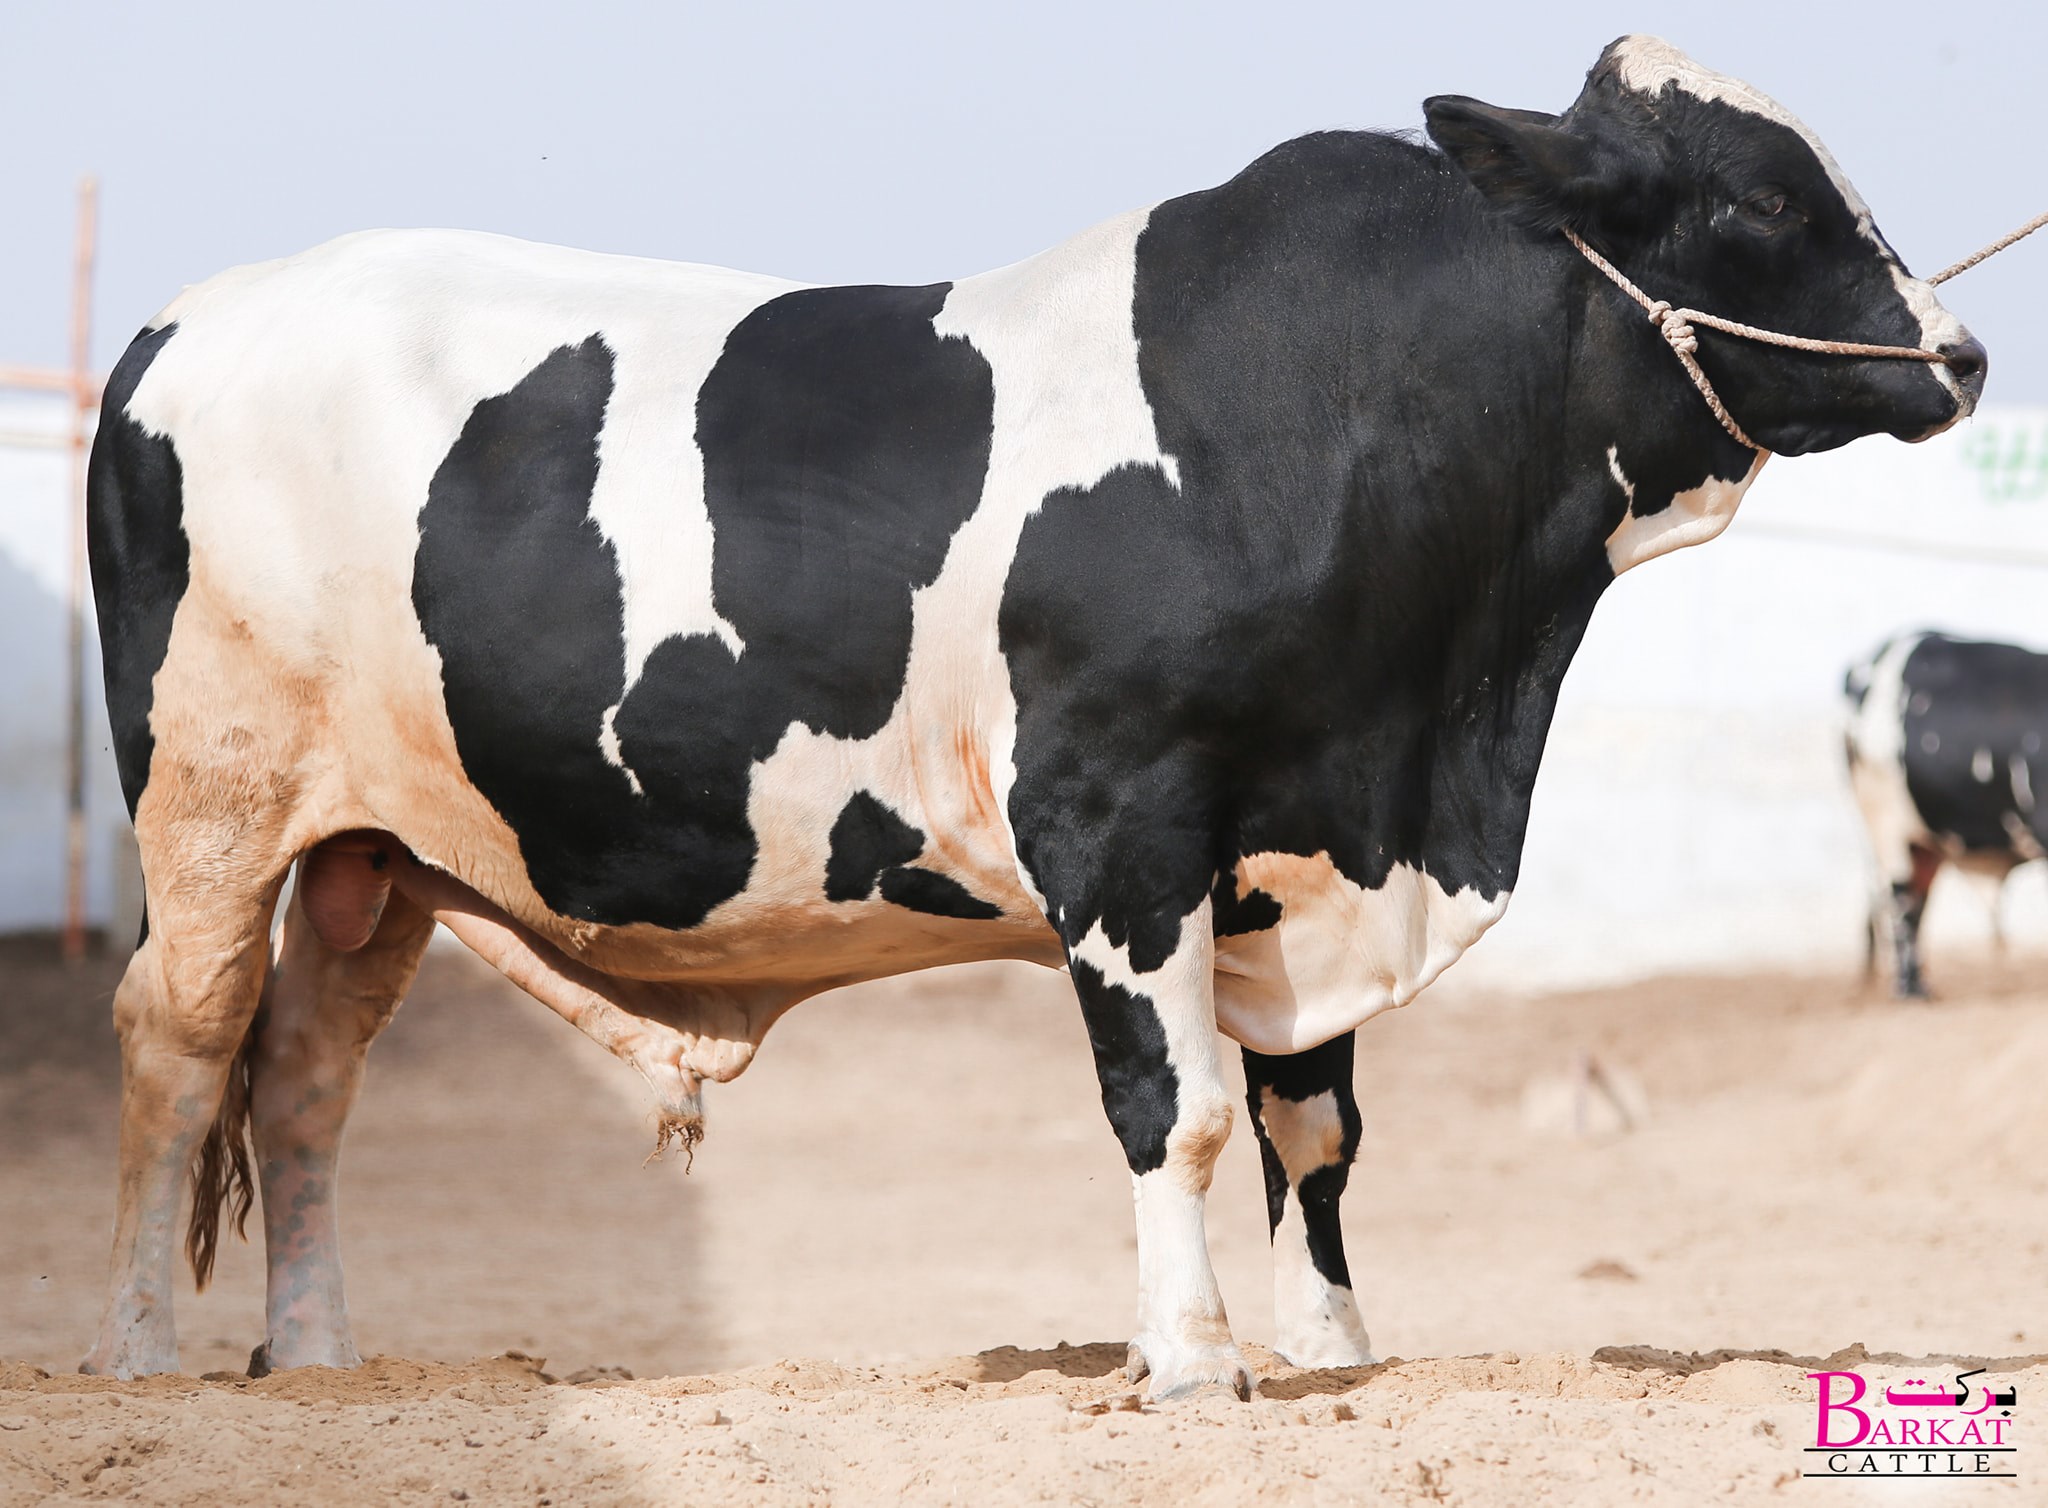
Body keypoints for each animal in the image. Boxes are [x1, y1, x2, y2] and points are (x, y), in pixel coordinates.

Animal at [83, 35, 1983, 1394]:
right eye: (1760, 203)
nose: (1960, 356)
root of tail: (185, 318)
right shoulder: (1121, 826)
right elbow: (1181, 1107)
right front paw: (1196, 1363)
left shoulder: (1296, 837)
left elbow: (1315, 1123)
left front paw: (1334, 1350)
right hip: (213, 810)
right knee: (179, 1046)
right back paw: (139, 1352)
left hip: (375, 855)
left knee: (304, 1081)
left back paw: (318, 1359)